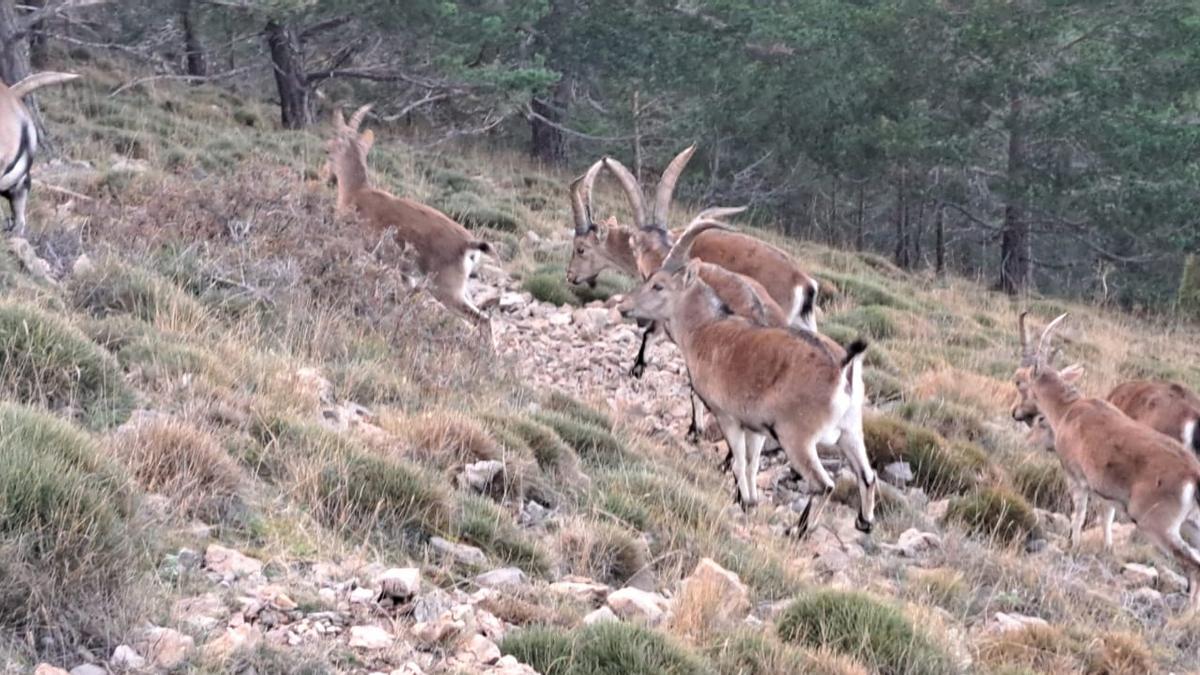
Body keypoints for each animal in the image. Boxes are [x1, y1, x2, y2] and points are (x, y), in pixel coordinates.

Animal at [325, 105, 494, 345]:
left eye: (328, 150)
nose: (327, 175)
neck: (356, 192)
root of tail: (467, 245)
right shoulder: (406, 273)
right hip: (460, 289)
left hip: (446, 289)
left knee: (483, 320)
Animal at [617, 218, 876, 537]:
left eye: (658, 285)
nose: (624, 306)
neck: (705, 328)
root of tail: (843, 367)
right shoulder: (757, 427)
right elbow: (752, 463)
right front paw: (748, 500)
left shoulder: (728, 416)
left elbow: (739, 462)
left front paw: (743, 499)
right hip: (851, 429)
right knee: (867, 475)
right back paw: (864, 521)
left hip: (797, 437)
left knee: (824, 485)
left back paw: (798, 530)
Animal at [1013, 313, 1200, 611]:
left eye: (1019, 381)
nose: (1016, 413)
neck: (1069, 411)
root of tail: (1193, 475)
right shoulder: (1107, 493)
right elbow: (1107, 518)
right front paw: (1107, 550)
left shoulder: (1076, 477)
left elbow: (1078, 515)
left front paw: (1073, 545)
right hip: (1193, 523)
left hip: (1158, 524)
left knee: (1194, 565)